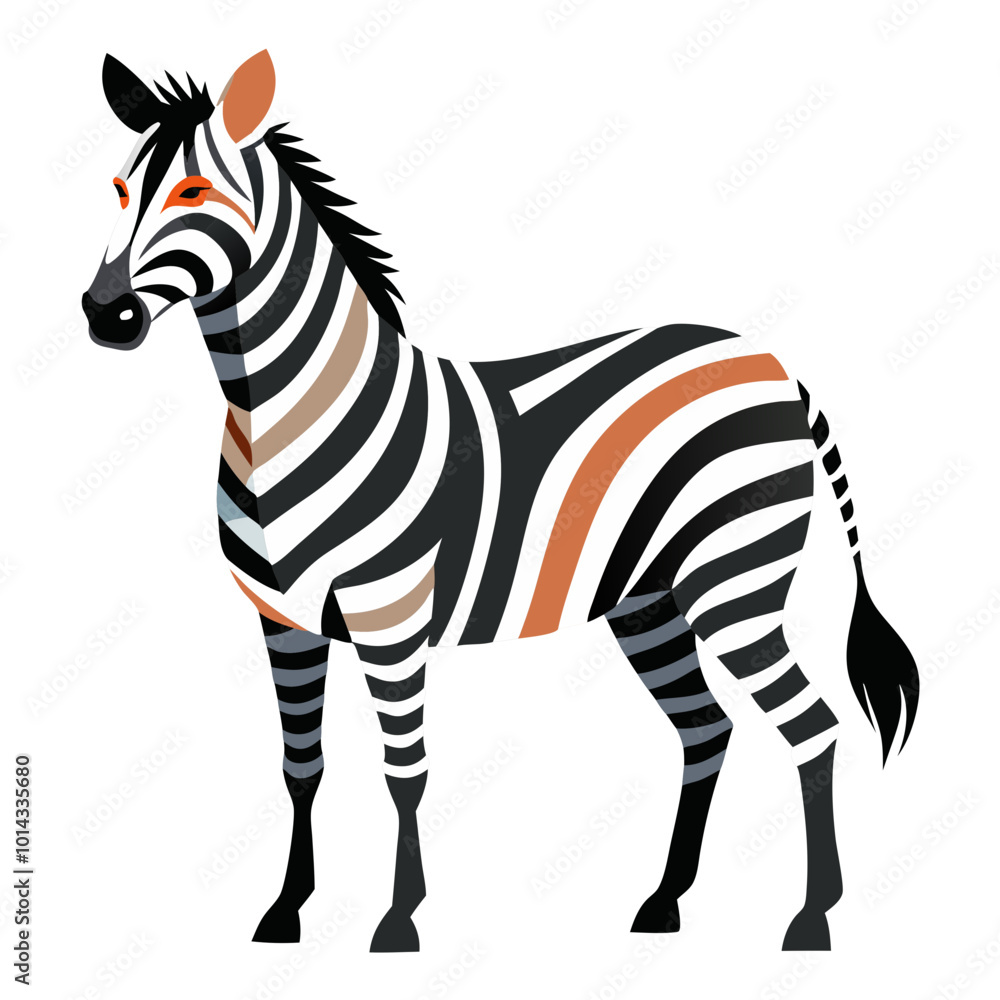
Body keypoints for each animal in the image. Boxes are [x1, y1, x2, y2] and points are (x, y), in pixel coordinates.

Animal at [82, 51, 920, 954]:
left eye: (193, 192)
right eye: (120, 190)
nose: (104, 315)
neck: (283, 421)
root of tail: (776, 368)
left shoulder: (389, 616)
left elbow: (404, 769)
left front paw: (398, 919)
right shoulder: (283, 621)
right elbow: (301, 765)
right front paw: (285, 910)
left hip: (738, 584)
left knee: (812, 726)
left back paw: (811, 918)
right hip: (651, 603)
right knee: (708, 730)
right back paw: (664, 904)